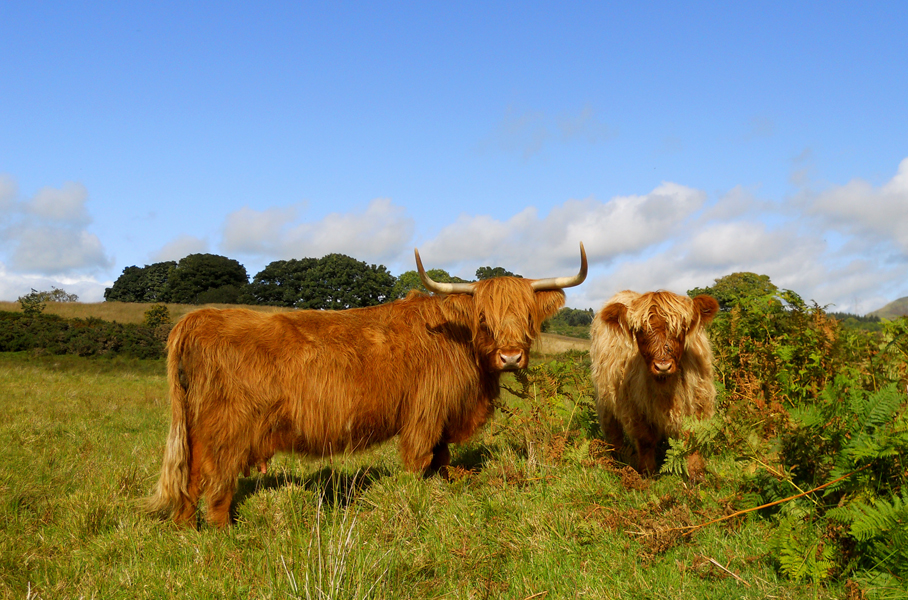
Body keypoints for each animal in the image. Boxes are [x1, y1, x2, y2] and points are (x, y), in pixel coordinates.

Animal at [145, 244, 587, 527]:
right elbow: (419, 462)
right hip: (229, 428)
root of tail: (198, 318)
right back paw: (222, 532)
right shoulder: (424, 414)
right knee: (217, 479)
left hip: (196, 427)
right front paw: (415, 500)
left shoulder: (442, 419)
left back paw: (186, 529)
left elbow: (442, 461)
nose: (510, 357)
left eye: (528, 316)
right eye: (483, 318)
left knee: (189, 476)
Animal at [589, 290, 720, 476]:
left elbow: (693, 434)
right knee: (614, 432)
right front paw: (647, 472)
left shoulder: (700, 401)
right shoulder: (635, 408)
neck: (666, 387)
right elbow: (646, 440)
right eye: (640, 330)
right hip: (605, 401)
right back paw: (618, 458)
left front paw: (696, 471)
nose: (662, 365)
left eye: (681, 328)